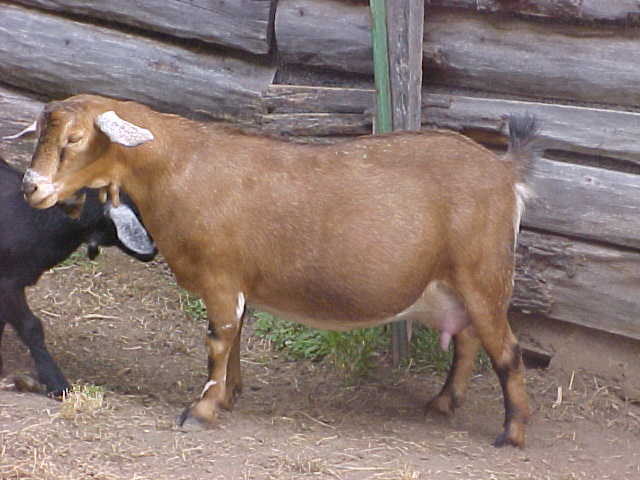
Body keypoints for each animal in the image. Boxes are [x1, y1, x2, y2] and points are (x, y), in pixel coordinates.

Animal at [21, 94, 540, 447]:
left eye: (73, 140)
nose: (31, 188)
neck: (179, 168)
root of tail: (506, 171)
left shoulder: (220, 276)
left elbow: (218, 339)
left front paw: (201, 410)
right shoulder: (237, 282)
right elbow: (234, 338)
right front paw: (229, 395)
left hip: (484, 273)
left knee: (507, 351)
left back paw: (512, 433)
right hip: (453, 283)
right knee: (469, 339)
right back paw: (442, 404)